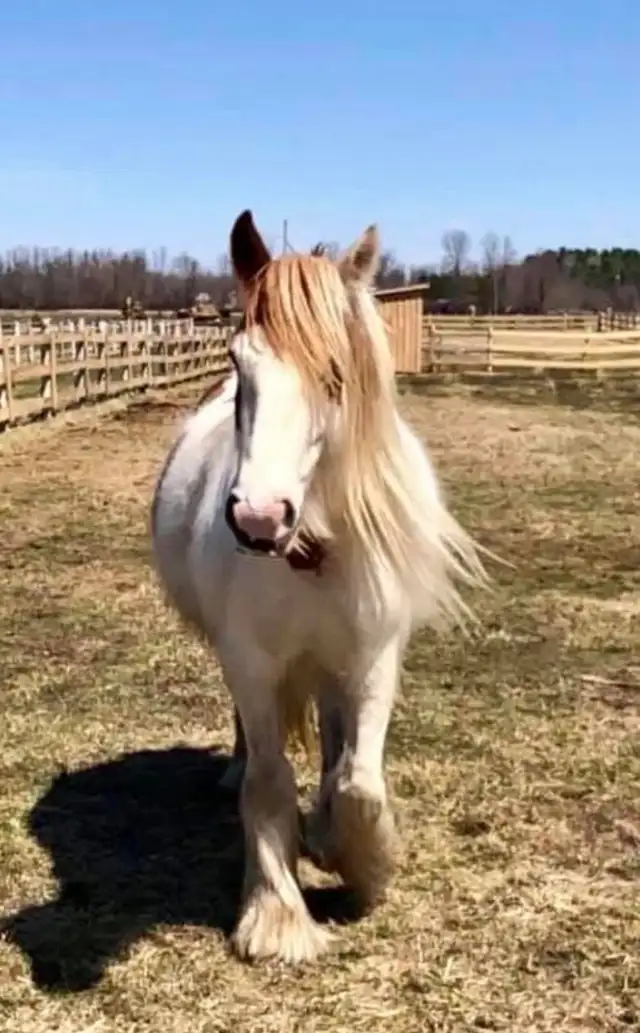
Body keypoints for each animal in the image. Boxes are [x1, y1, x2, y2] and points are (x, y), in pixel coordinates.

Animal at [150, 210, 487, 965]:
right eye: (237, 361)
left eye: (337, 371)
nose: (257, 517)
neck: (313, 551)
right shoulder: (250, 662)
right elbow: (269, 782)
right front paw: (277, 913)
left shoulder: (372, 660)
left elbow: (358, 780)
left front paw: (359, 861)